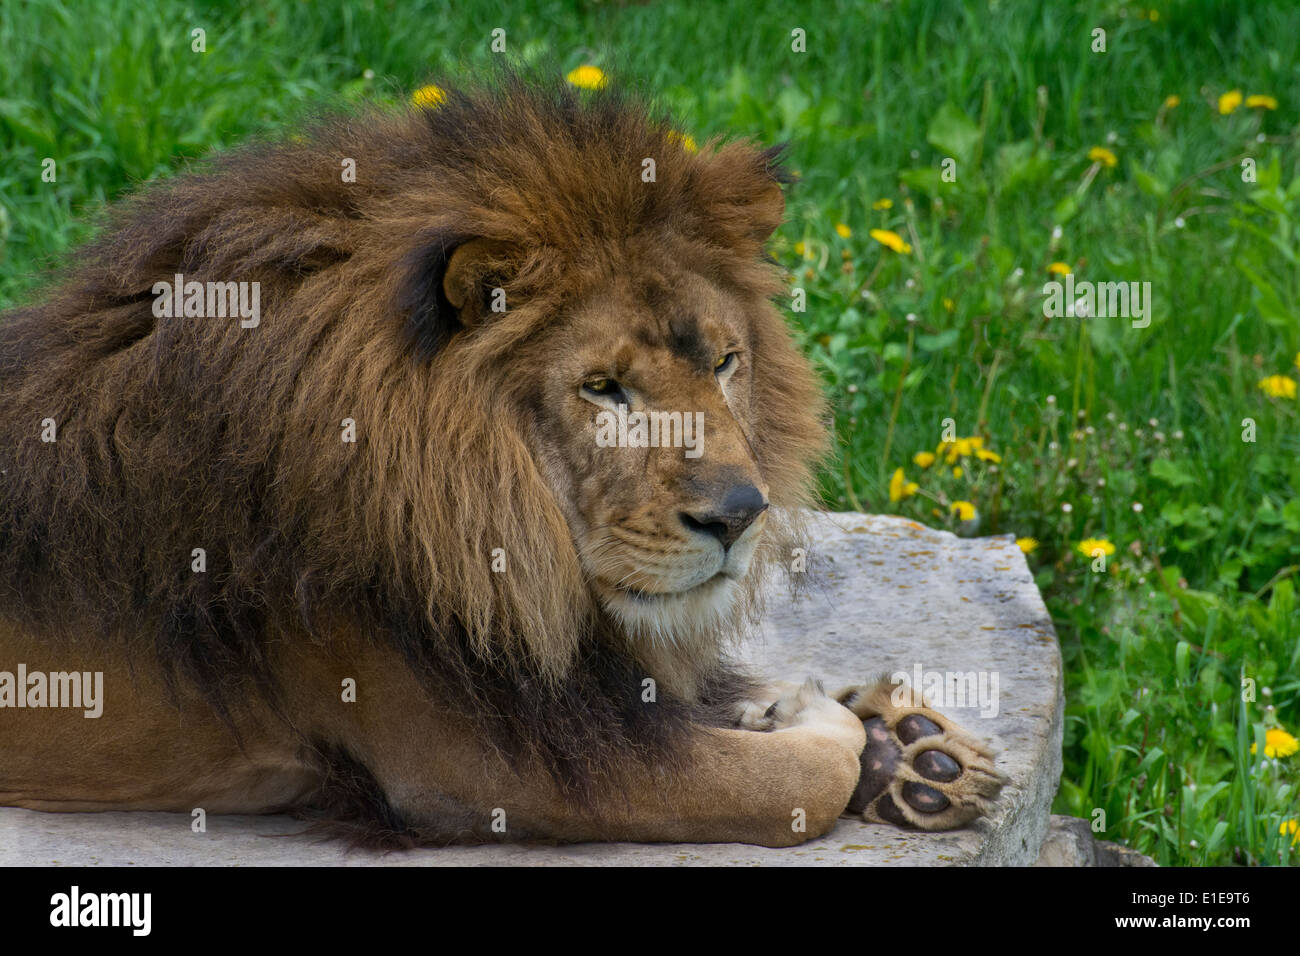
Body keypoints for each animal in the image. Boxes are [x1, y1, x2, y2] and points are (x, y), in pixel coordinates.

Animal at [0, 72, 1002, 847]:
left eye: (724, 362)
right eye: (604, 389)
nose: (738, 517)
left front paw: (907, 745)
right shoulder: (486, 768)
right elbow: (791, 781)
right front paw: (829, 725)